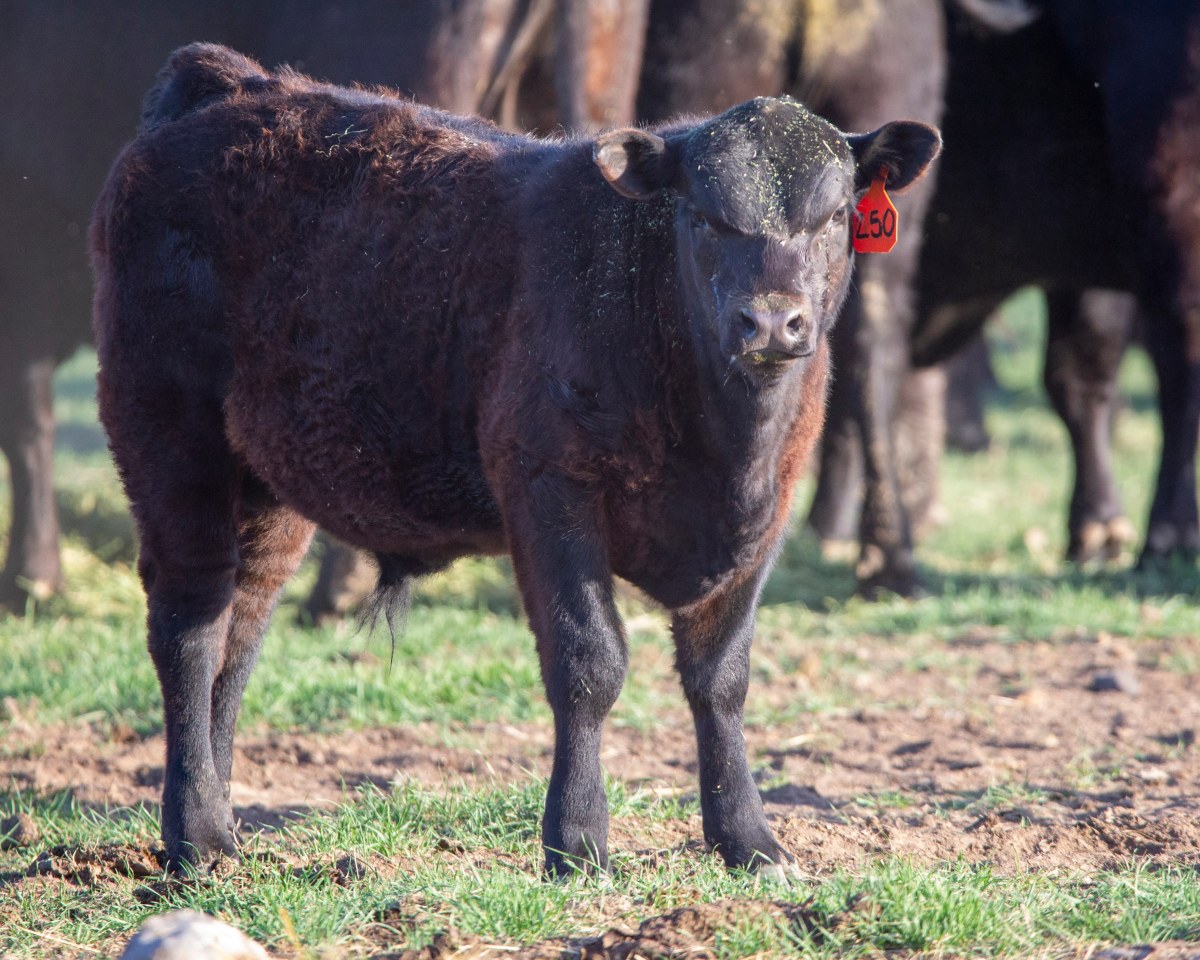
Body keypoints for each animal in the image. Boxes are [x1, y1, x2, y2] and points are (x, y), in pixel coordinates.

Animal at [92, 44, 939, 875]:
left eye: (835, 215)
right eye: (703, 216)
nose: (770, 322)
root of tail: (233, 82)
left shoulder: (763, 522)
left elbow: (720, 681)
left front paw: (749, 840)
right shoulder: (550, 489)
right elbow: (589, 663)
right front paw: (579, 840)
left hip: (268, 489)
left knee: (240, 635)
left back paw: (224, 826)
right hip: (169, 441)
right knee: (190, 630)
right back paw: (196, 837)